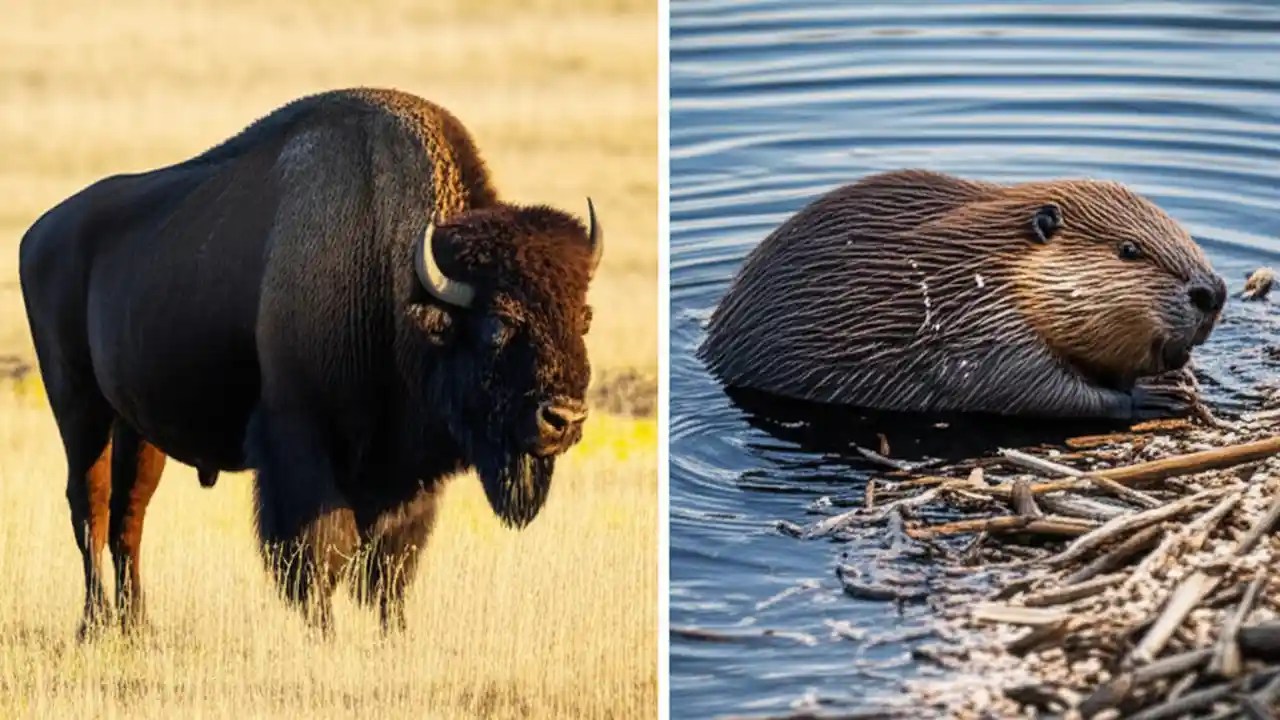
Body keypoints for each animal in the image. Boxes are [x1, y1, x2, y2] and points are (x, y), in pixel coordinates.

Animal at [19, 87, 601, 634]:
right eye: (499, 324)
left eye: (584, 318)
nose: (564, 419)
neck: (390, 265)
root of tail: (39, 233)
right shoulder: (302, 449)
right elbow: (318, 558)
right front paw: (324, 637)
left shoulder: (405, 478)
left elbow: (390, 570)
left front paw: (393, 639)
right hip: (80, 409)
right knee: (90, 508)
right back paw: (93, 626)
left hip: (137, 429)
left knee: (130, 514)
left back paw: (139, 627)